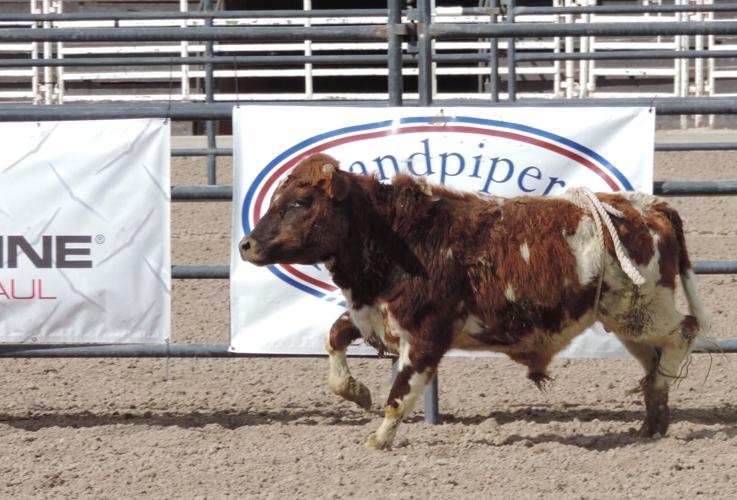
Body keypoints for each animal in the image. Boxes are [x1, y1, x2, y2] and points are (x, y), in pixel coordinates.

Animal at [239, 153, 710, 450]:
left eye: (300, 201)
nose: (246, 245)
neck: (399, 237)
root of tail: (647, 206)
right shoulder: (374, 313)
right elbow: (334, 338)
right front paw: (355, 391)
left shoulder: (424, 336)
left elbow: (401, 393)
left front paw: (378, 438)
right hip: (625, 317)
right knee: (654, 358)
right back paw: (651, 420)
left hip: (644, 308)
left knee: (682, 333)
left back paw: (658, 396)